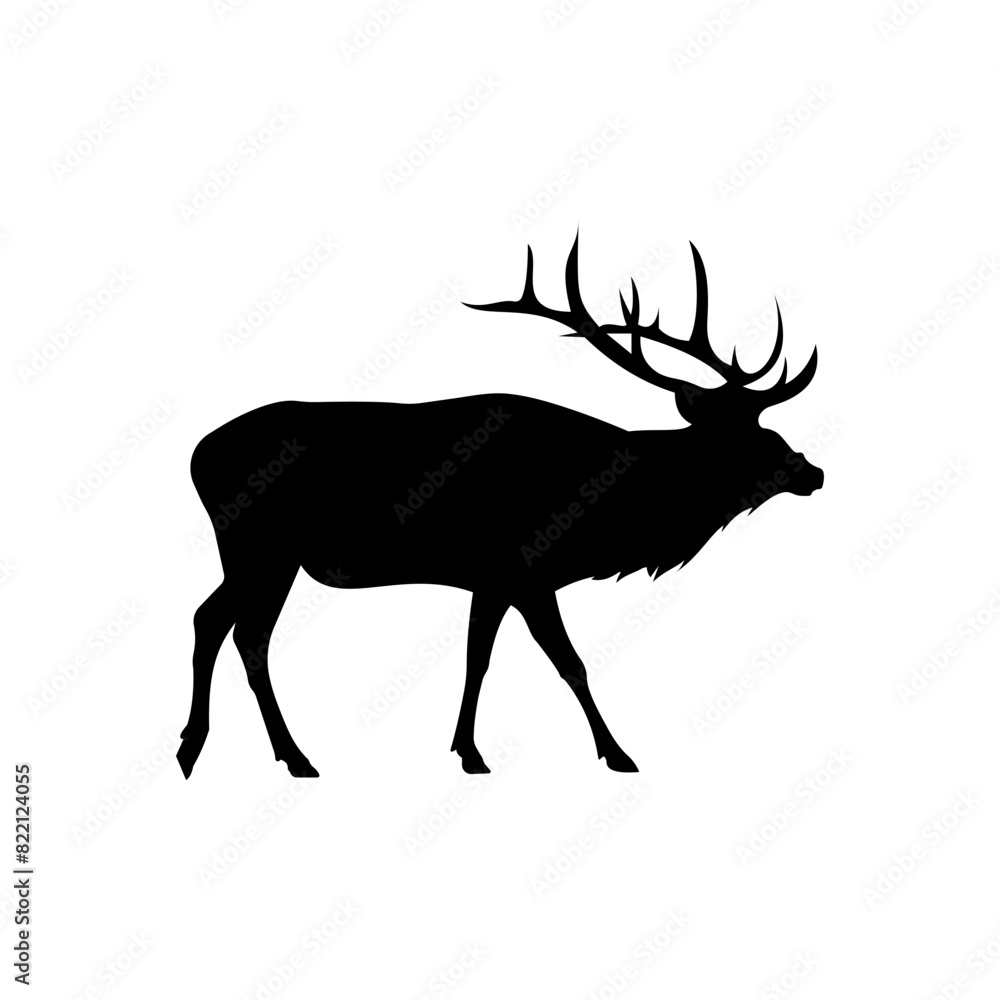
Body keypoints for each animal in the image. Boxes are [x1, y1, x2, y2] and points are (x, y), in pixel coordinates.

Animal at [177, 235, 822, 780]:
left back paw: (206, 748)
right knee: (240, 631)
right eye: (746, 436)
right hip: (262, 547)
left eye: (766, 427)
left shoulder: (494, 580)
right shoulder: (524, 569)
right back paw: (285, 755)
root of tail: (196, 453)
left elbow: (479, 658)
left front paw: (467, 750)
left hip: (255, 554)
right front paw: (613, 753)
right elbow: (565, 662)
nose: (811, 471)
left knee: (219, 621)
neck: (601, 512)